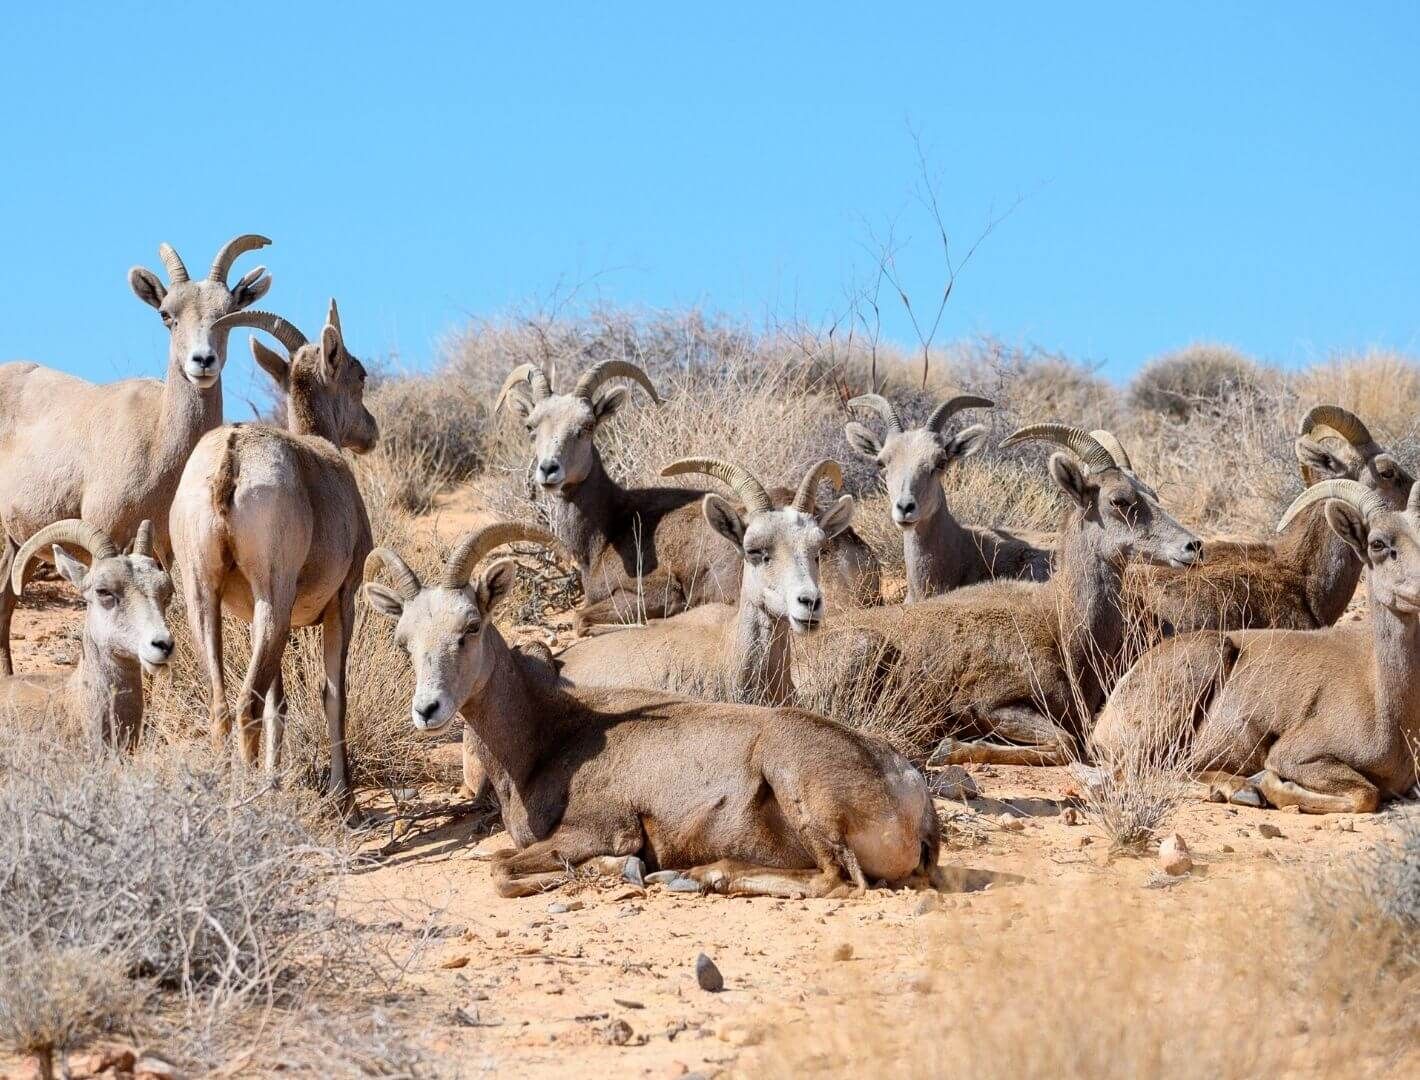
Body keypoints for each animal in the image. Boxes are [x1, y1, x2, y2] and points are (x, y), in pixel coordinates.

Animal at [169, 301, 377, 814]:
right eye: (359, 374)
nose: (371, 432)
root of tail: (232, 457)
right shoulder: (342, 602)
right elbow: (333, 693)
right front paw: (345, 801)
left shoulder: (252, 617)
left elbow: (278, 704)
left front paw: (276, 783)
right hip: (274, 600)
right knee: (246, 705)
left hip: (209, 599)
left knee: (225, 706)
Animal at [361, 521, 943, 899]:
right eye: (403, 640)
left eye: (470, 626)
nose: (428, 710)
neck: (545, 738)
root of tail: (908, 785)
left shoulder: (597, 829)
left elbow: (501, 870)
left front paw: (621, 870)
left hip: (795, 780)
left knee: (839, 881)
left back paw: (702, 877)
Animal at [495, 360, 881, 633]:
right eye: (531, 427)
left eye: (587, 426)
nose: (549, 470)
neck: (608, 529)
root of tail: (856, 552)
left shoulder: (658, 592)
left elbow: (580, 620)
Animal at [794, 425, 1202, 766]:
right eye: (1119, 500)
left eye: (1152, 495)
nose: (1192, 546)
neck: (1060, 623)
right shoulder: (990, 704)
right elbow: (1066, 744)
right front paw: (949, 749)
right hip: (865, 646)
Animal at [1095, 478, 1420, 813]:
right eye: (1378, 544)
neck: (1387, 708)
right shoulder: (1296, 755)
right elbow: (1365, 796)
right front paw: (1270, 784)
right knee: (1133, 774)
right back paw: (1240, 789)